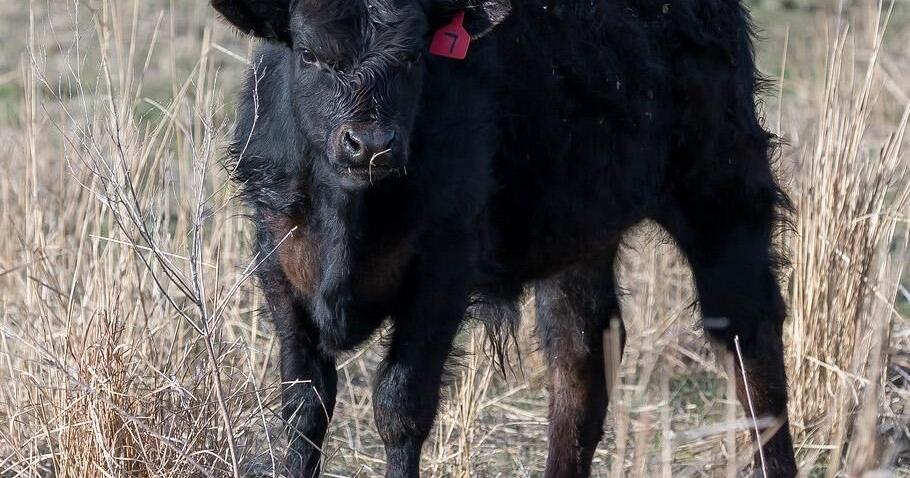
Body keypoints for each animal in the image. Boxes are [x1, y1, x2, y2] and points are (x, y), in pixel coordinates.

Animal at [212, 0, 797, 476]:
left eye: (412, 58)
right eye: (310, 55)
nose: (371, 145)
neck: (350, 217)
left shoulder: (443, 271)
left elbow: (402, 407)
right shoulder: (277, 264)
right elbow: (304, 405)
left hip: (724, 193)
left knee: (750, 345)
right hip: (580, 241)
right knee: (579, 361)